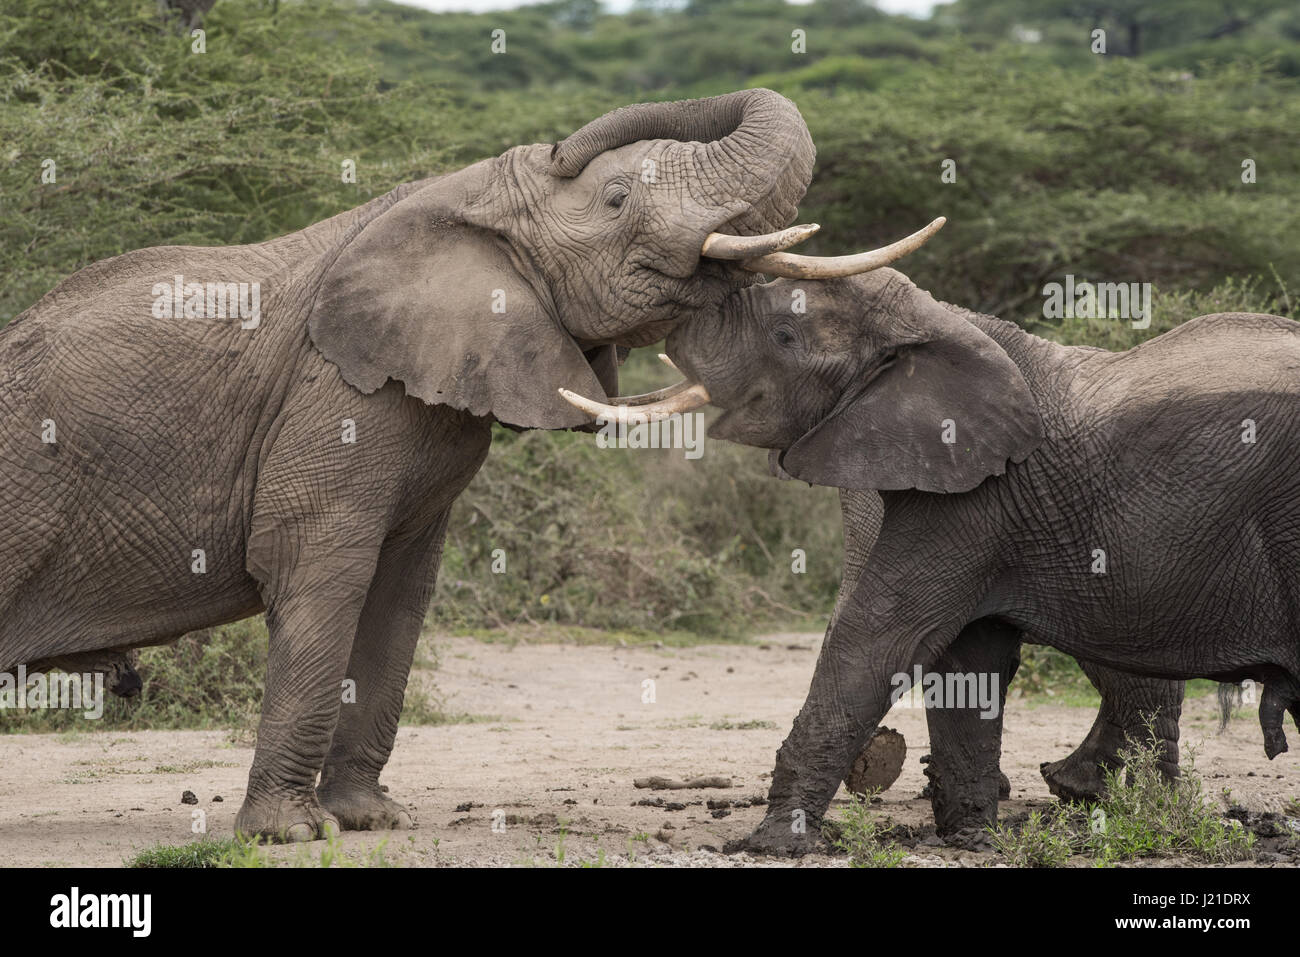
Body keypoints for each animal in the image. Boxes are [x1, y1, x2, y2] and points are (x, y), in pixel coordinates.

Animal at [0, 89, 926, 842]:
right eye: (617, 197)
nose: (558, 144)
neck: (468, 197)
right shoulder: (331, 398)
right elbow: (321, 574)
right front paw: (288, 835)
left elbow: (400, 593)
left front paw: (369, 819)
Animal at [564, 248, 1298, 854]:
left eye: (784, 337)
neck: (937, 323)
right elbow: (967, 658)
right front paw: (972, 838)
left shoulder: (975, 501)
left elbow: (880, 635)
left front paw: (770, 844)